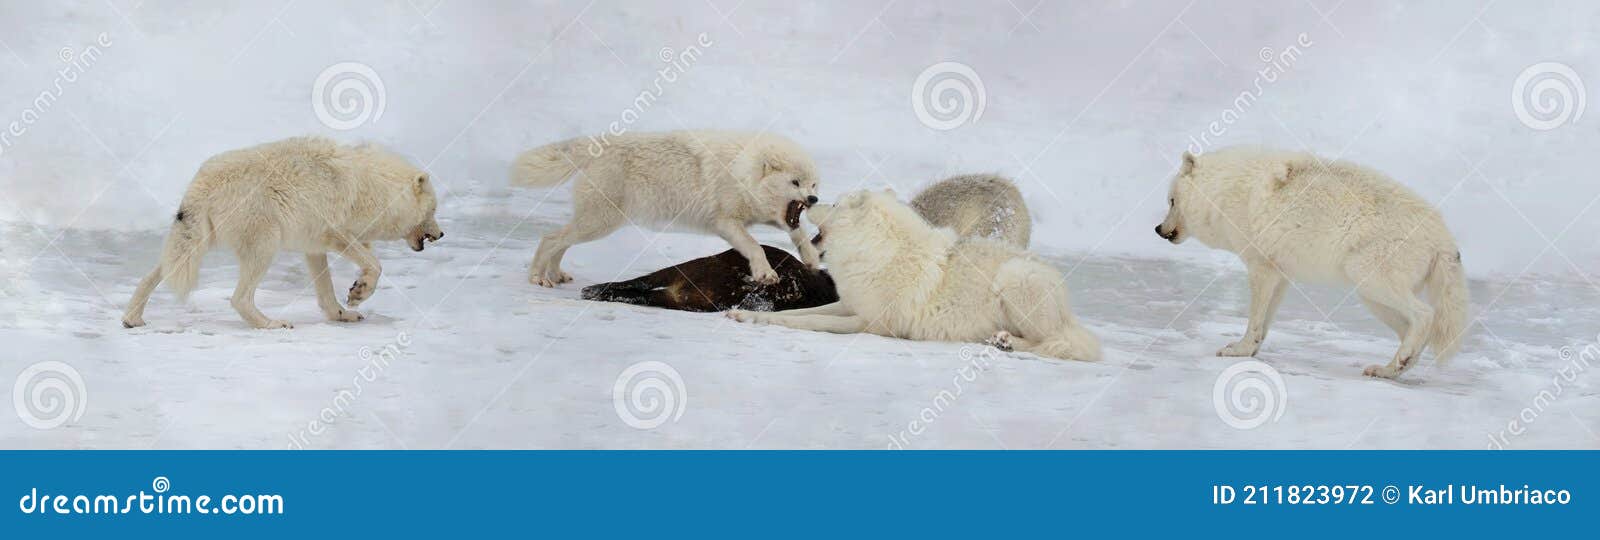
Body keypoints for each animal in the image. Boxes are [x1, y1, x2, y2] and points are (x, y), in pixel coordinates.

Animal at [120, 136, 443, 329]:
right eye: (433, 210)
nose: (441, 234)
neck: (375, 188)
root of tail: (201, 183)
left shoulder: (314, 247)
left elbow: (326, 291)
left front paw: (343, 313)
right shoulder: (336, 233)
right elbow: (375, 265)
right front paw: (358, 293)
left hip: (197, 244)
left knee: (153, 275)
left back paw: (132, 318)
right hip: (265, 245)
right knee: (239, 298)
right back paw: (272, 324)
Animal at [509, 130, 821, 287]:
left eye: (813, 184)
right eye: (795, 182)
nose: (814, 199)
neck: (743, 172)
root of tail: (598, 146)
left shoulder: (766, 218)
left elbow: (799, 232)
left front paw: (811, 259)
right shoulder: (726, 223)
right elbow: (755, 247)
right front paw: (765, 274)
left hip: (594, 224)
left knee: (559, 241)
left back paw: (556, 275)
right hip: (599, 224)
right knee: (549, 238)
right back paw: (537, 277)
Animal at [728, 189, 1100, 361]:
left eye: (833, 205)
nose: (812, 199)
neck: (876, 252)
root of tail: (1070, 313)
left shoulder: (868, 323)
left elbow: (810, 321)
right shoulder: (848, 305)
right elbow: (798, 313)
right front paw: (746, 314)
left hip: (1015, 278)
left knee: (1050, 343)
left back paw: (1005, 341)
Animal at [1155, 147, 1468, 379]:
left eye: (1171, 201)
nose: (1158, 229)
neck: (1224, 191)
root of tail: (1445, 238)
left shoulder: (1261, 269)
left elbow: (1254, 321)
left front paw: (1239, 350)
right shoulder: (1280, 275)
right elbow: (1263, 325)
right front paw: (1251, 351)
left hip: (1370, 281)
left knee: (1426, 316)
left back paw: (1399, 360)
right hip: (1371, 298)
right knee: (1413, 332)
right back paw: (1392, 368)